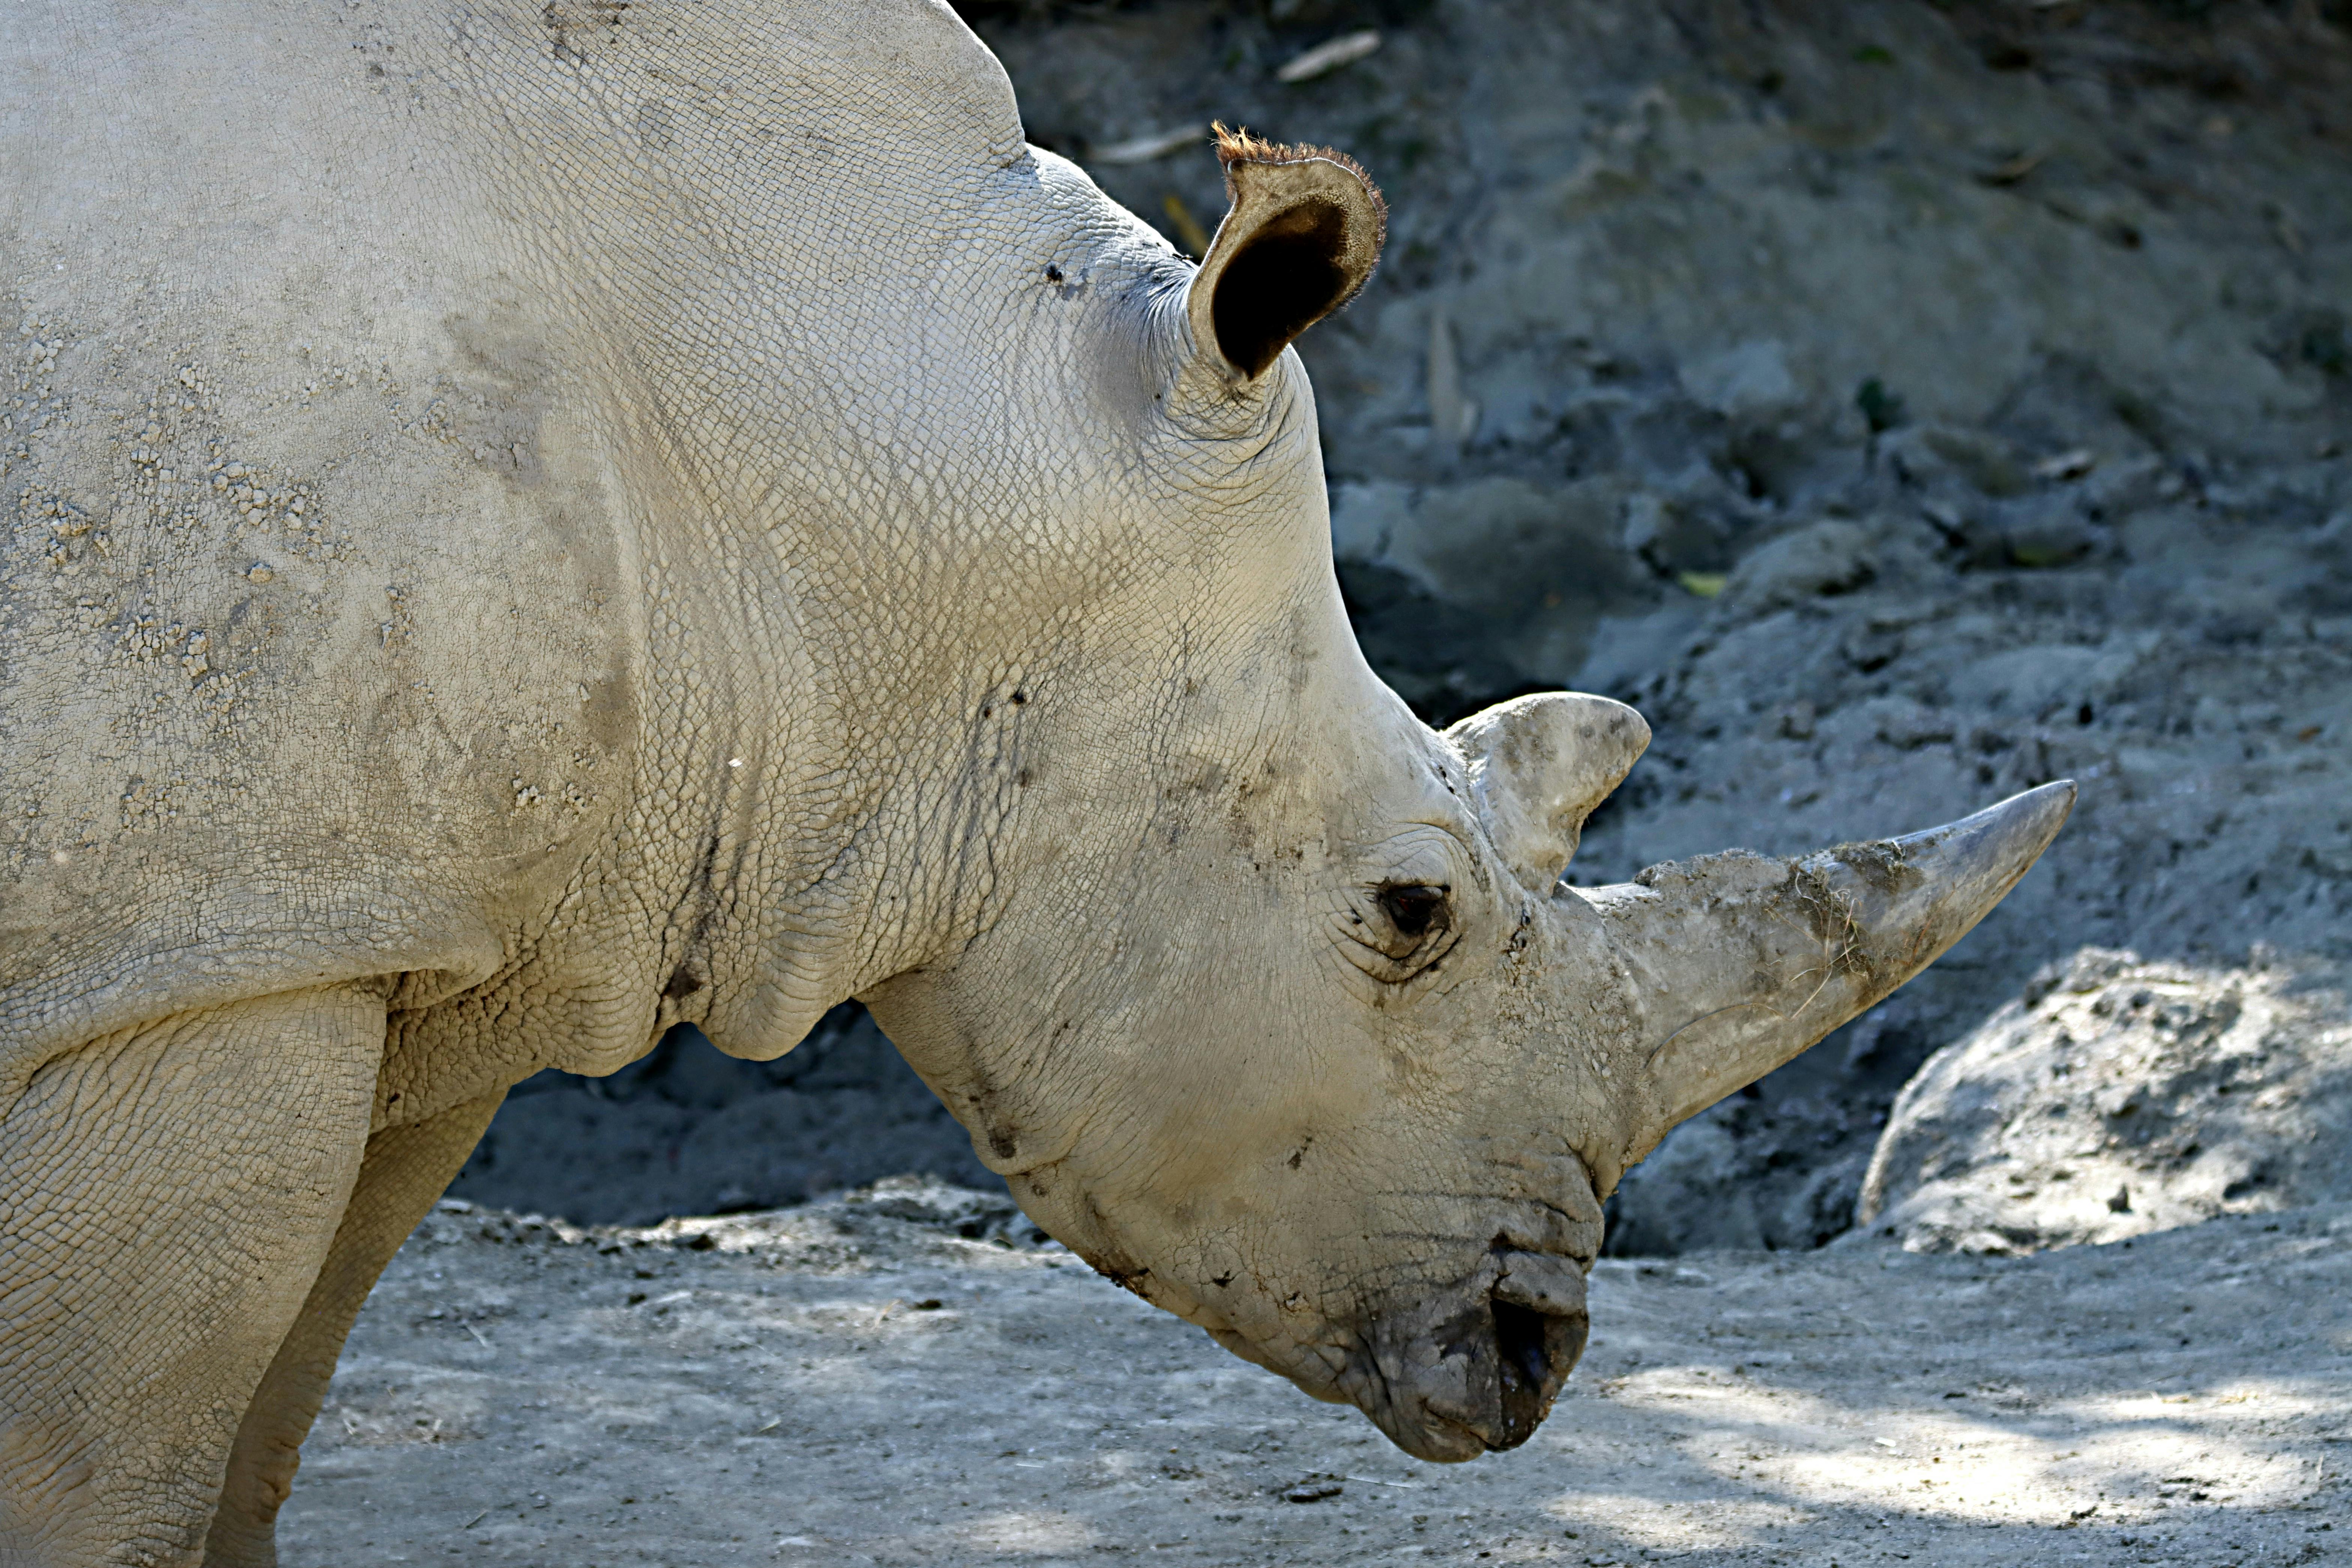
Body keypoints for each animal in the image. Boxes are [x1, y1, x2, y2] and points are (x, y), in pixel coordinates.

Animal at [0, 1, 2071, 1562]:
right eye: (1409, 909)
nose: (1533, 1347)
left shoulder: (408, 920)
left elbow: (264, 1422)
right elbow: (124, 1468)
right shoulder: (208, 951)